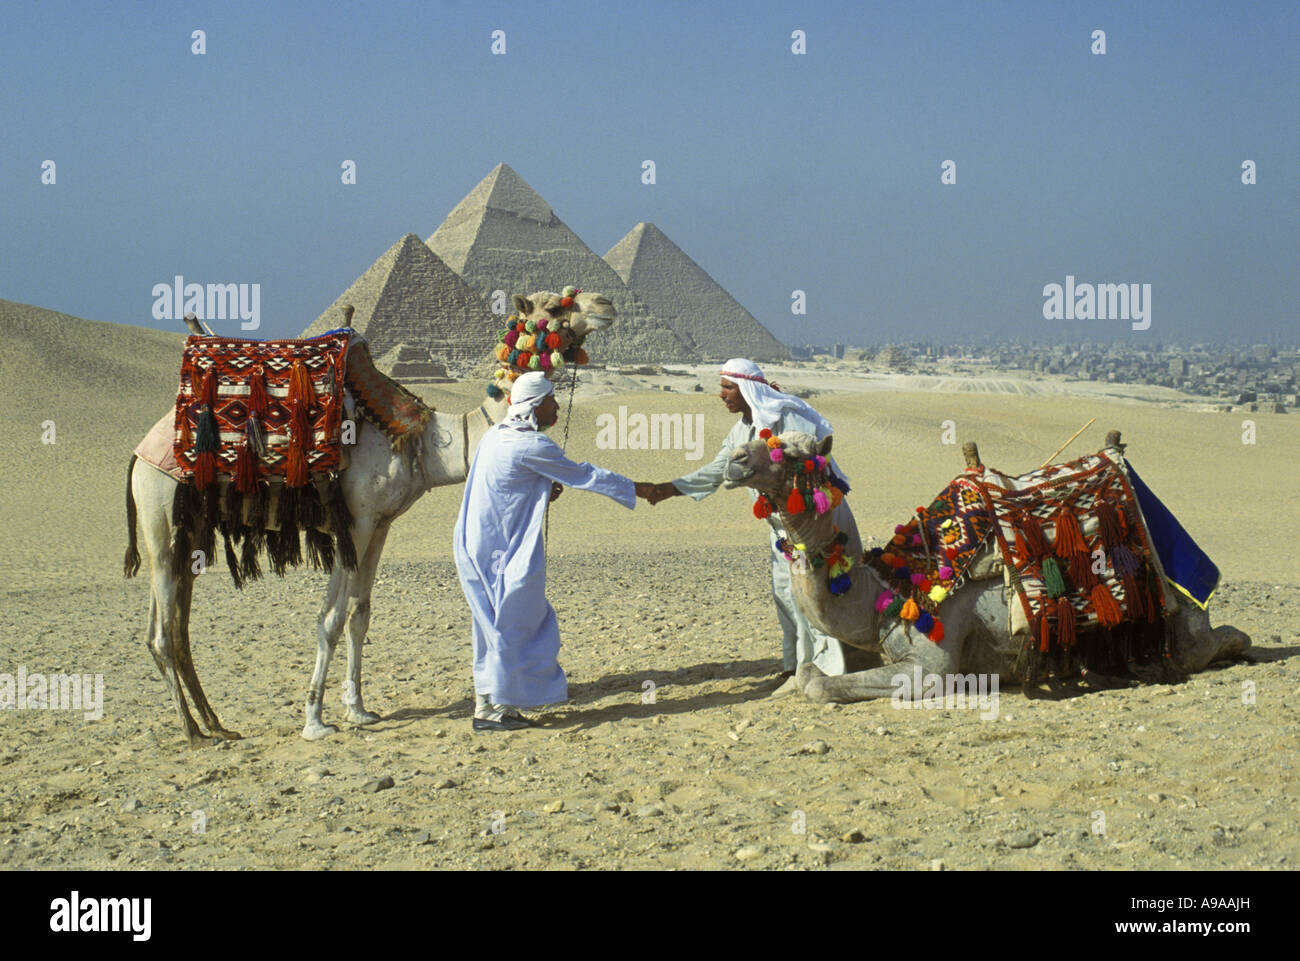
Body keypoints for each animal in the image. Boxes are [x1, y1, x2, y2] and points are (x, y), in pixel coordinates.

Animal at [124, 290, 614, 745]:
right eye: (555, 307)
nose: (607, 304)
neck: (424, 441)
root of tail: (141, 451)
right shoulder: (355, 524)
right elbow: (330, 619)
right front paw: (314, 721)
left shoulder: (380, 525)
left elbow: (360, 613)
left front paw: (358, 710)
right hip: (160, 515)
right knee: (162, 632)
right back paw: (193, 732)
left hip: (190, 531)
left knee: (176, 628)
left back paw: (216, 724)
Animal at [723, 430, 1251, 703]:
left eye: (791, 452)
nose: (734, 459)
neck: (890, 589)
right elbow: (807, 673)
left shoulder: (934, 668)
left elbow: (818, 684)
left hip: (1180, 625)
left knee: (1212, 642)